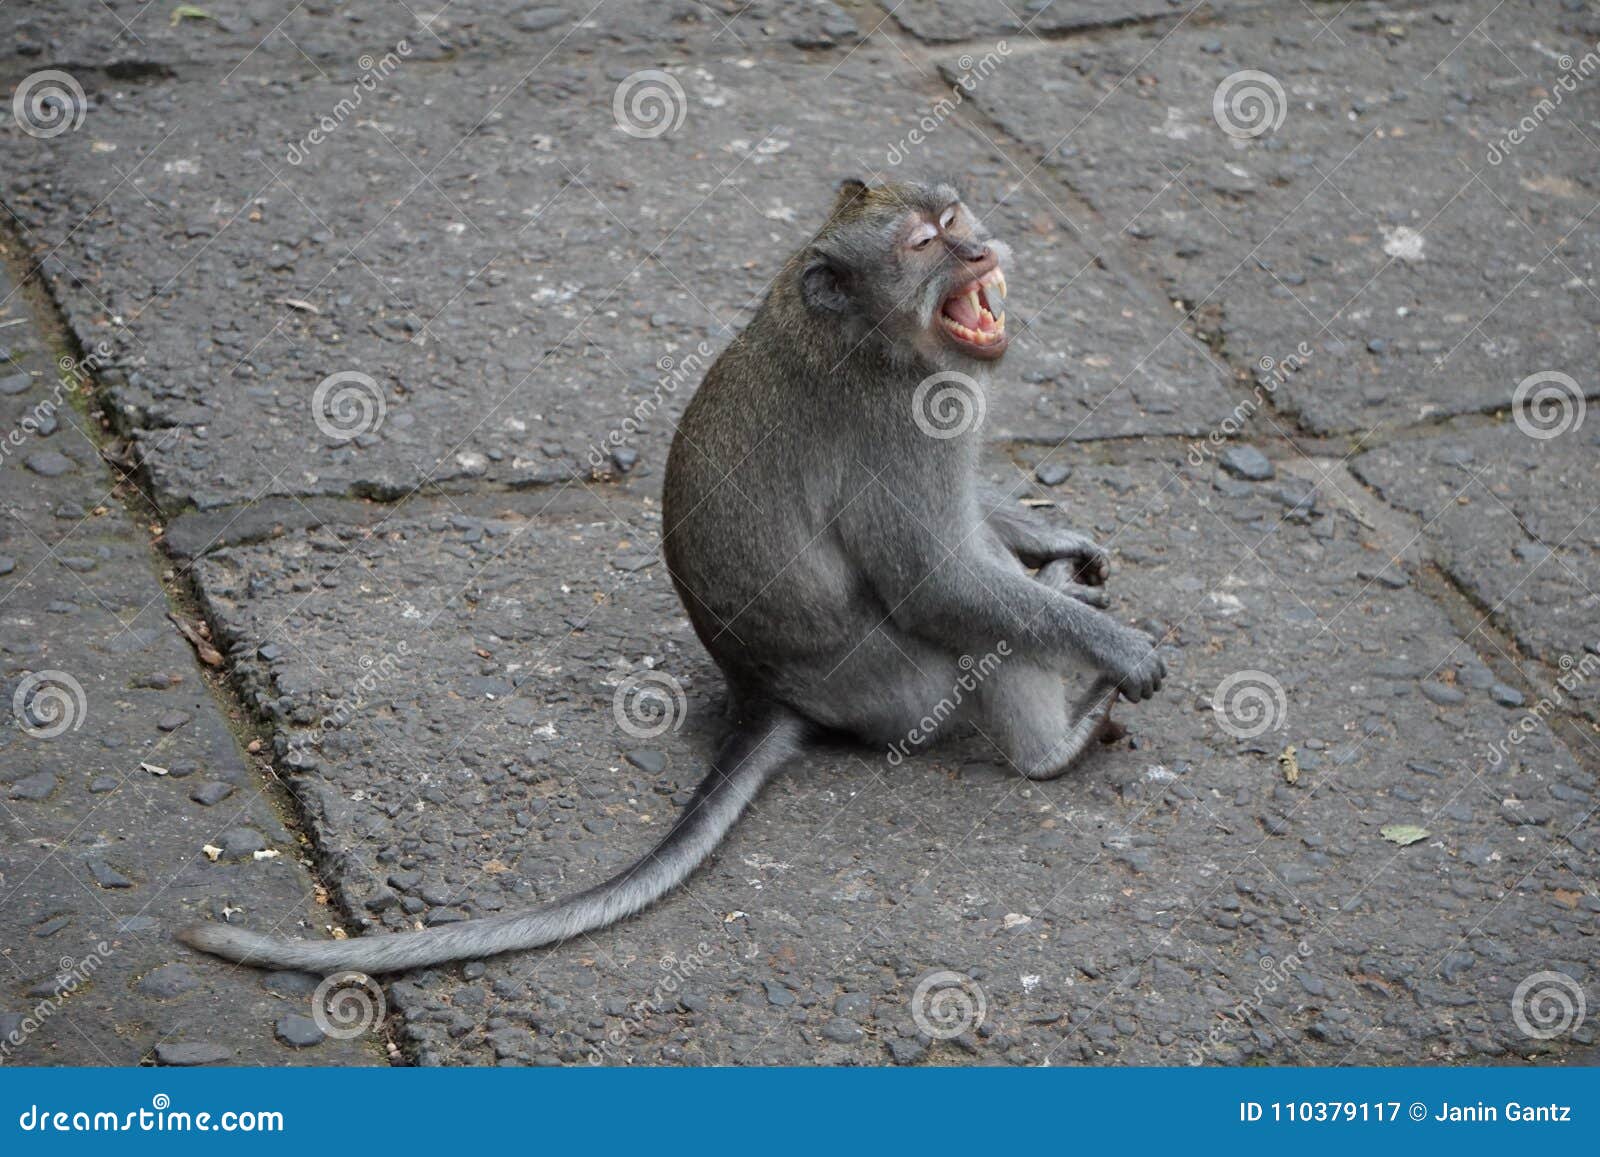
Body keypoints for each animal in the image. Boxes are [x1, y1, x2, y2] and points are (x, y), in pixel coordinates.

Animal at [178, 178, 1165, 975]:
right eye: (923, 245)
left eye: (955, 218)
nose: (977, 249)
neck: (864, 338)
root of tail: (766, 693)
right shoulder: (903, 426)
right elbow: (938, 579)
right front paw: (1118, 647)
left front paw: (1061, 541)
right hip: (905, 684)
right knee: (975, 632)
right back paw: (1057, 741)